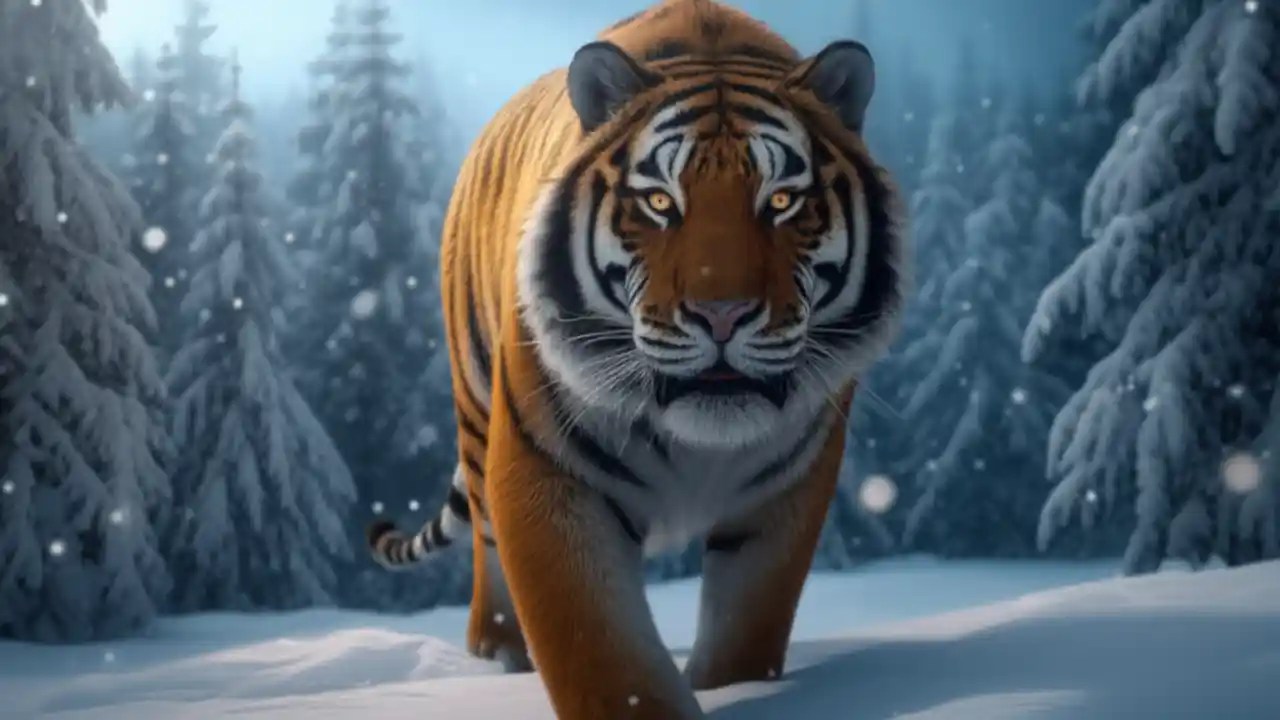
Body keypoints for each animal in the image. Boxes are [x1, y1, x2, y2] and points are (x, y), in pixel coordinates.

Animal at [366, 1, 905, 717]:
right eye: (658, 203)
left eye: (782, 202)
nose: (722, 314)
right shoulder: (550, 475)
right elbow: (605, 660)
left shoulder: (788, 490)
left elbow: (747, 630)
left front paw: (731, 688)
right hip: (479, 413)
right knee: (483, 535)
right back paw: (498, 650)